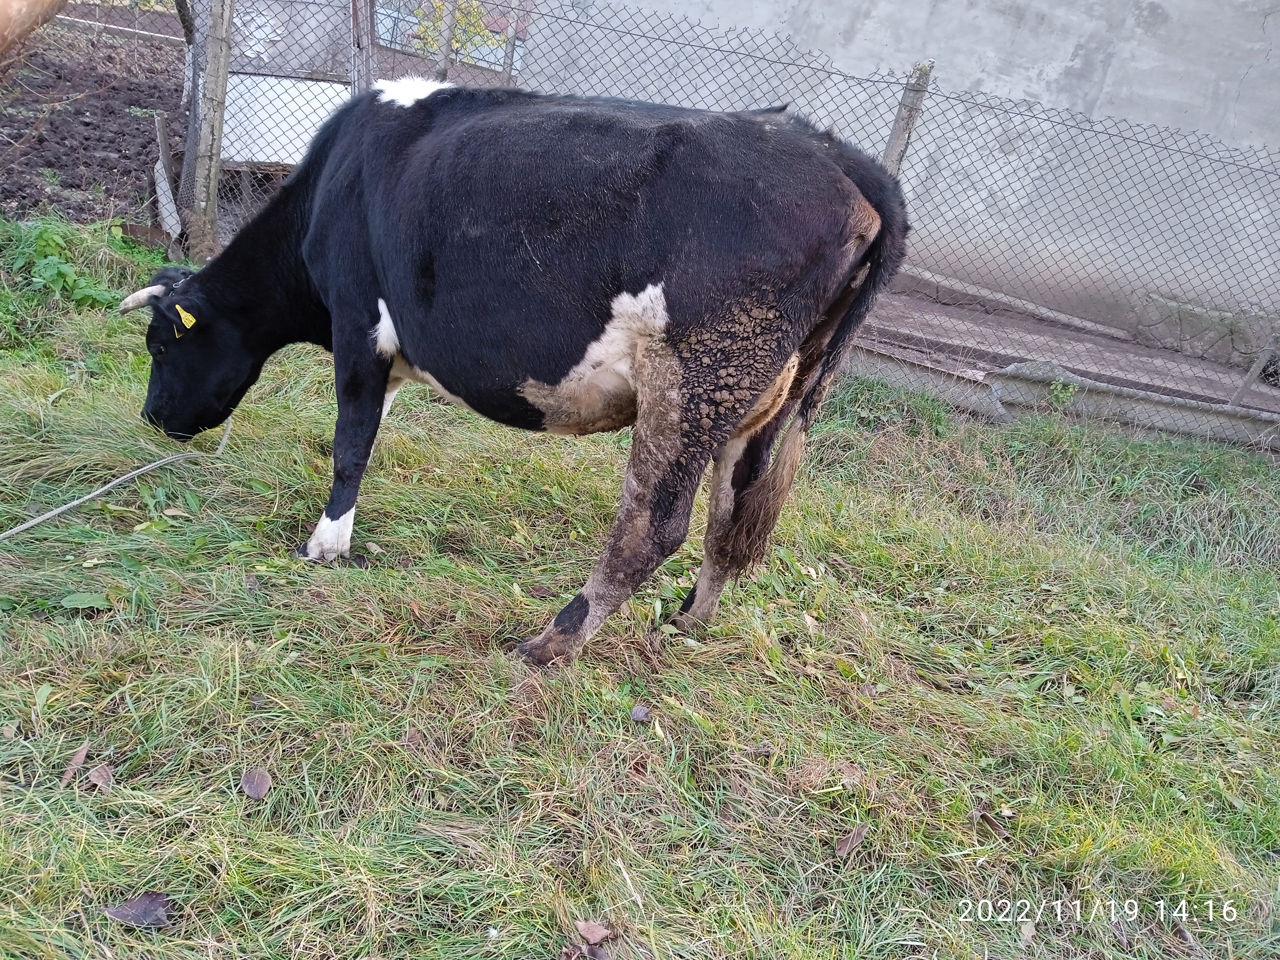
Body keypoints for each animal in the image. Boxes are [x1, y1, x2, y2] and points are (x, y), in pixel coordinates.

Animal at [119, 79, 908, 665]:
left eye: (159, 345)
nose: (154, 417)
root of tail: (834, 152)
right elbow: (367, 434)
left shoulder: (358, 322)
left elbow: (350, 445)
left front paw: (326, 546)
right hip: (764, 401)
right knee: (733, 519)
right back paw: (689, 621)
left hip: (692, 380)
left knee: (652, 527)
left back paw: (550, 642)